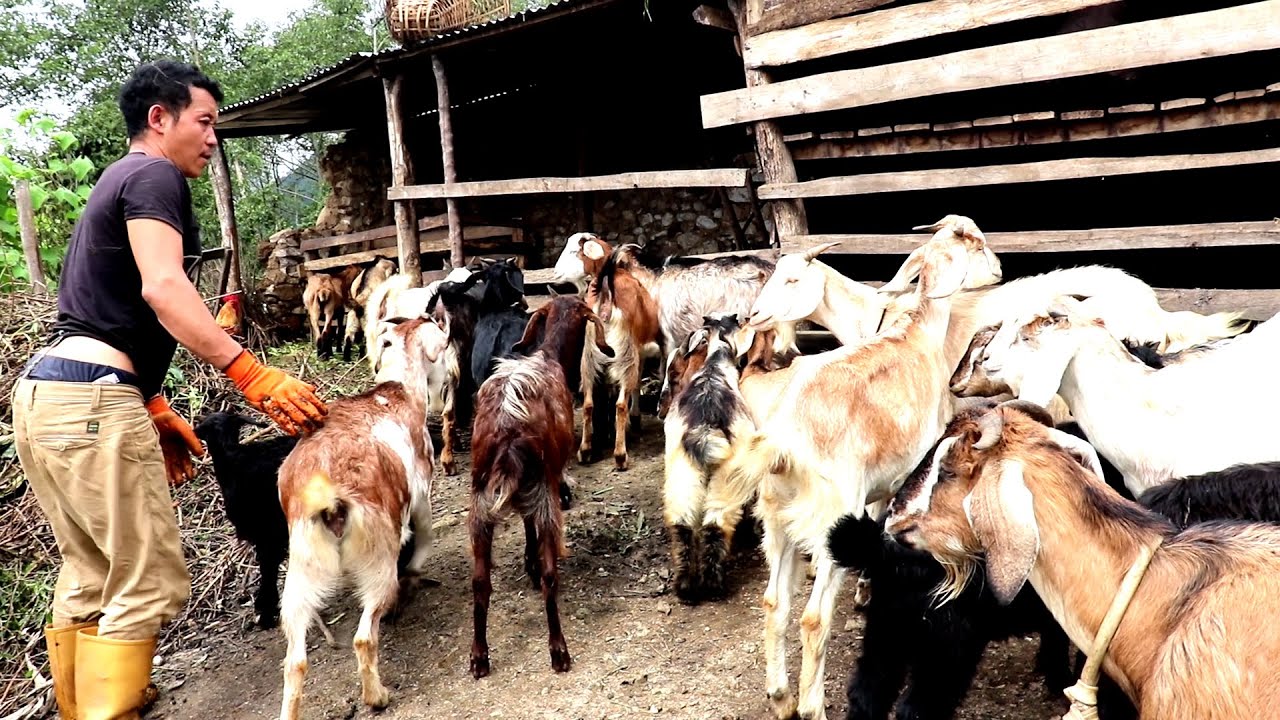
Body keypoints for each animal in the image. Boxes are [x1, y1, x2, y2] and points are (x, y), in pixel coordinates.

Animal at [276, 314, 447, 720]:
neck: (395, 390)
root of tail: (327, 492)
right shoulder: (420, 494)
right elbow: (425, 535)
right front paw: (414, 572)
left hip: (301, 568)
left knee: (295, 661)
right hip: (377, 557)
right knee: (364, 637)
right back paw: (377, 696)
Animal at [468, 295, 614, 679]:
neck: (549, 357)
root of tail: (507, 431)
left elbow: (524, 523)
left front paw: (527, 563)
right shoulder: (545, 483)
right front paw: (533, 565)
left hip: (480, 502)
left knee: (479, 581)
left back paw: (479, 657)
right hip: (544, 492)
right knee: (552, 576)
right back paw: (559, 651)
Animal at [719, 222, 995, 719]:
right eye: (976, 243)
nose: (1001, 270)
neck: (917, 332)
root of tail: (784, 445)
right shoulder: (904, 472)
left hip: (776, 517)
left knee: (774, 603)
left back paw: (781, 697)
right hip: (832, 517)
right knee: (813, 618)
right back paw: (811, 706)